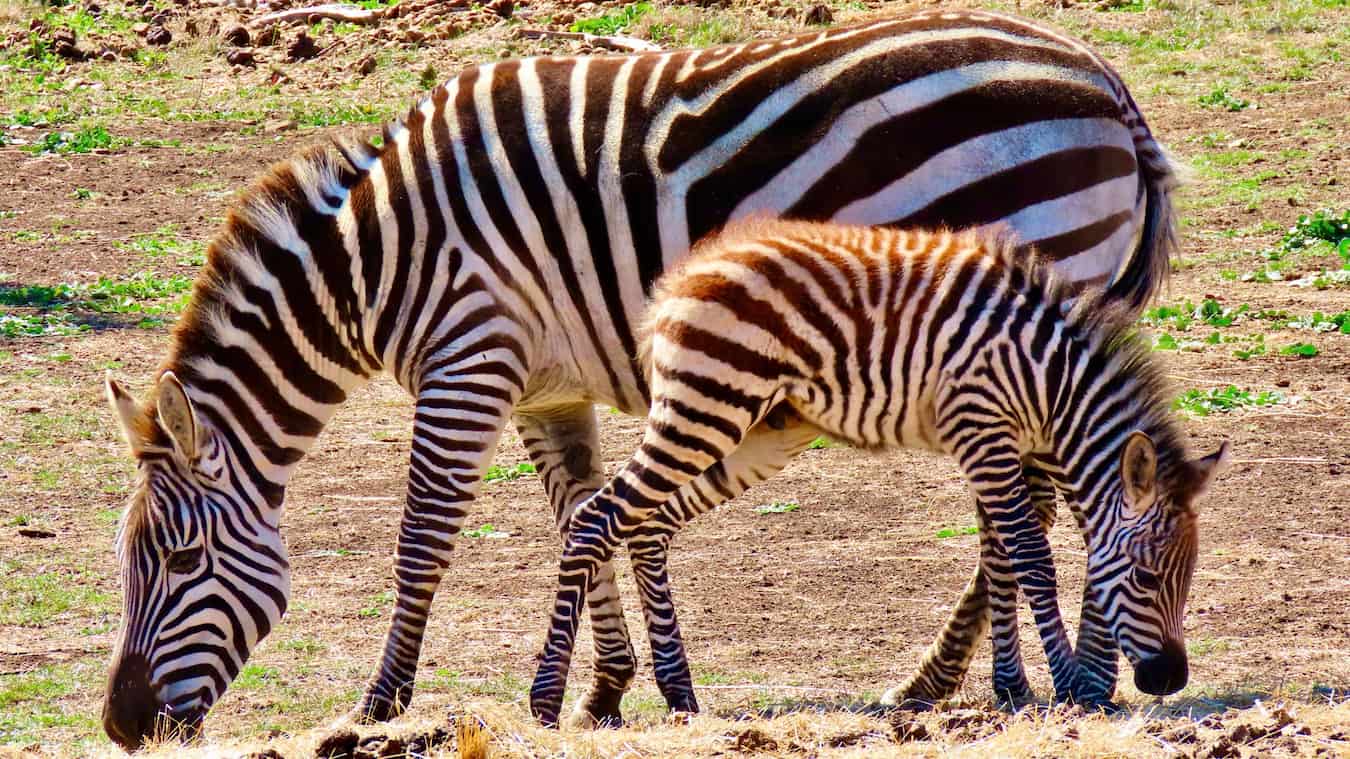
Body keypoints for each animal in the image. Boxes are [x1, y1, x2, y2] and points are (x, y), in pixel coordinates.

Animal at [529, 221, 1230, 726]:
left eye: (1190, 576)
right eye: (1146, 576)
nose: (1170, 679)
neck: (1050, 385)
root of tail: (681, 278)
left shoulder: (996, 448)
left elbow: (1000, 560)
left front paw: (1013, 689)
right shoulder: (982, 430)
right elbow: (1031, 558)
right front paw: (1070, 685)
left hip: (748, 428)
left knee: (647, 522)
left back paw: (679, 694)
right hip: (707, 408)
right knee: (595, 518)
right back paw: (546, 698)